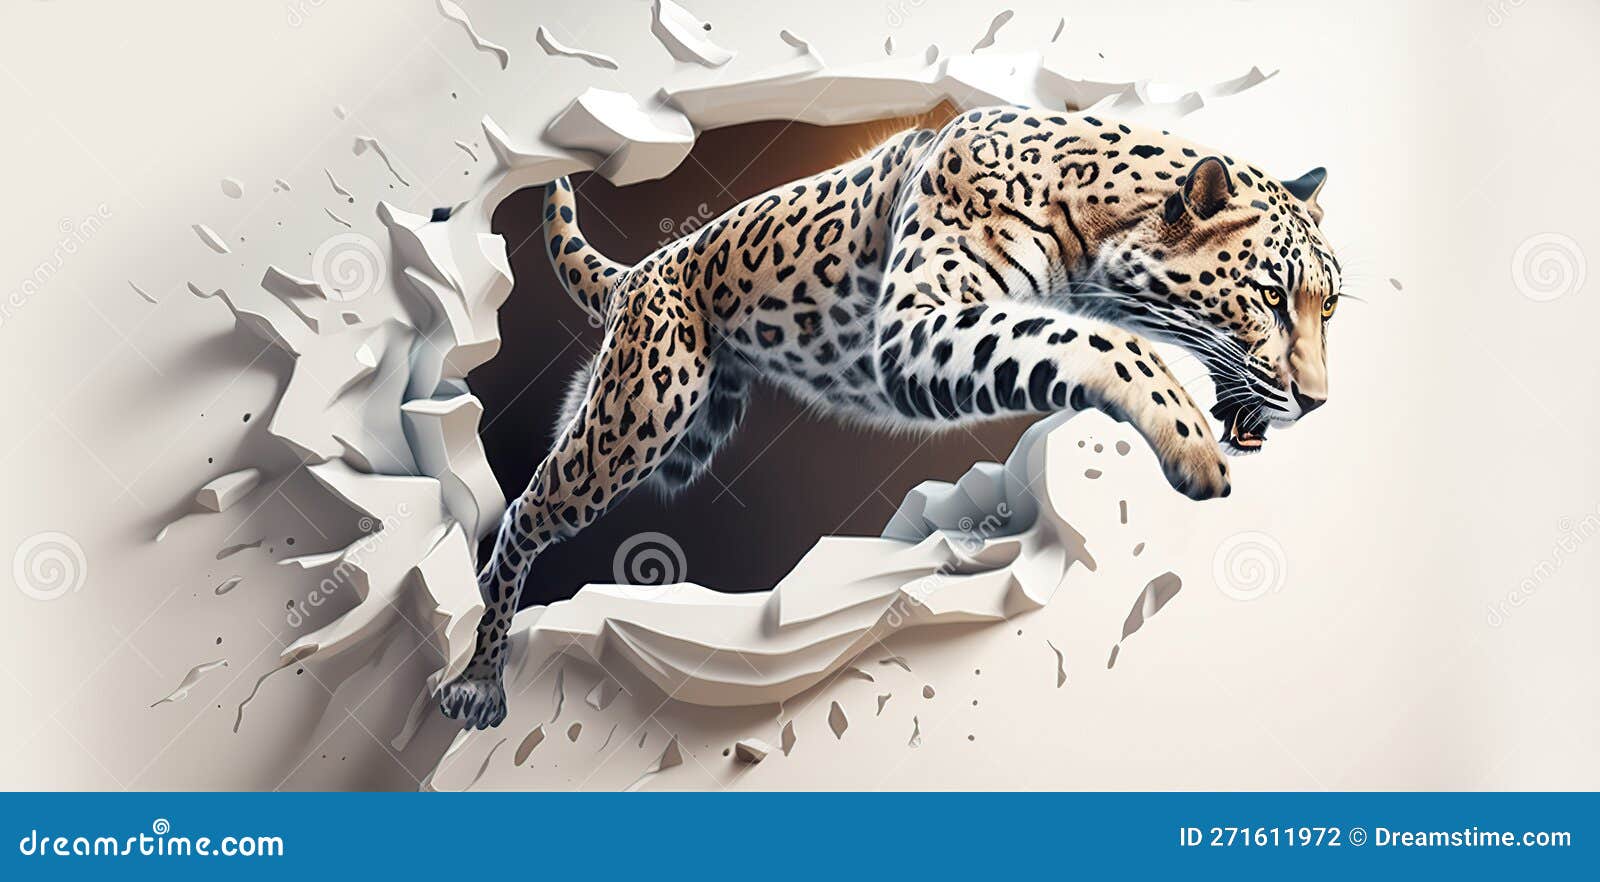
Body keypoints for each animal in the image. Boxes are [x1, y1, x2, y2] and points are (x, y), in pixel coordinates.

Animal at [439, 106, 1341, 729]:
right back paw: (478, 679)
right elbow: (1089, 340)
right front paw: (1187, 439)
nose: (1316, 402)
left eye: (1327, 305)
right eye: (1269, 295)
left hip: (665, 428)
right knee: (525, 511)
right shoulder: (915, 327)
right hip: (636, 421)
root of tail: (643, 269)